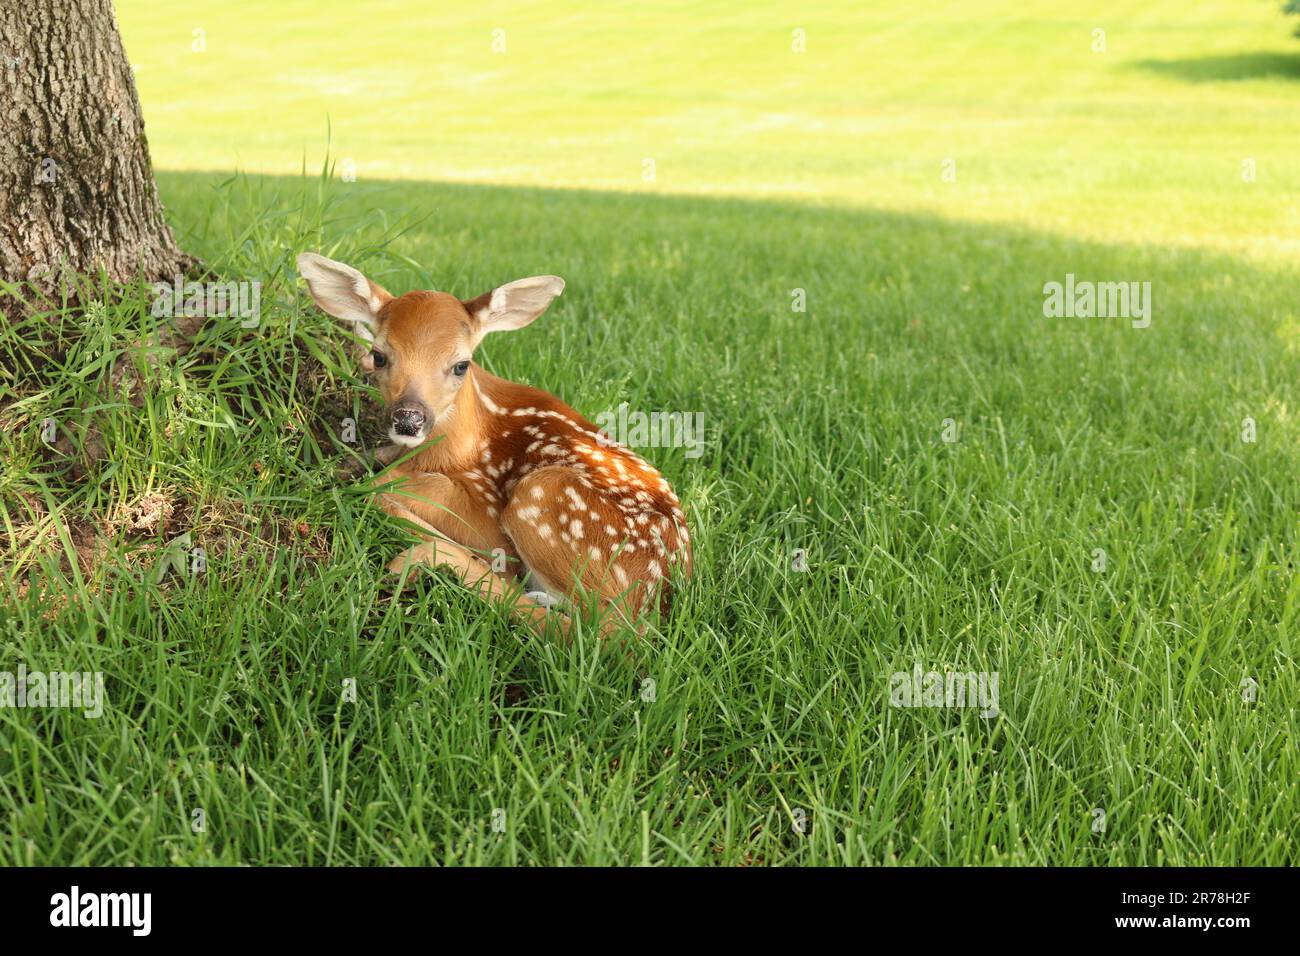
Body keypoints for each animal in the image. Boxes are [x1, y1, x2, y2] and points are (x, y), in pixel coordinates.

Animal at [296, 253, 692, 639]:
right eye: (379, 356)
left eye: (461, 365)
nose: (408, 419)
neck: (459, 446)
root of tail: (660, 593)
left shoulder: (484, 509)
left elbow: (378, 489)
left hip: (545, 494)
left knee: (603, 635)